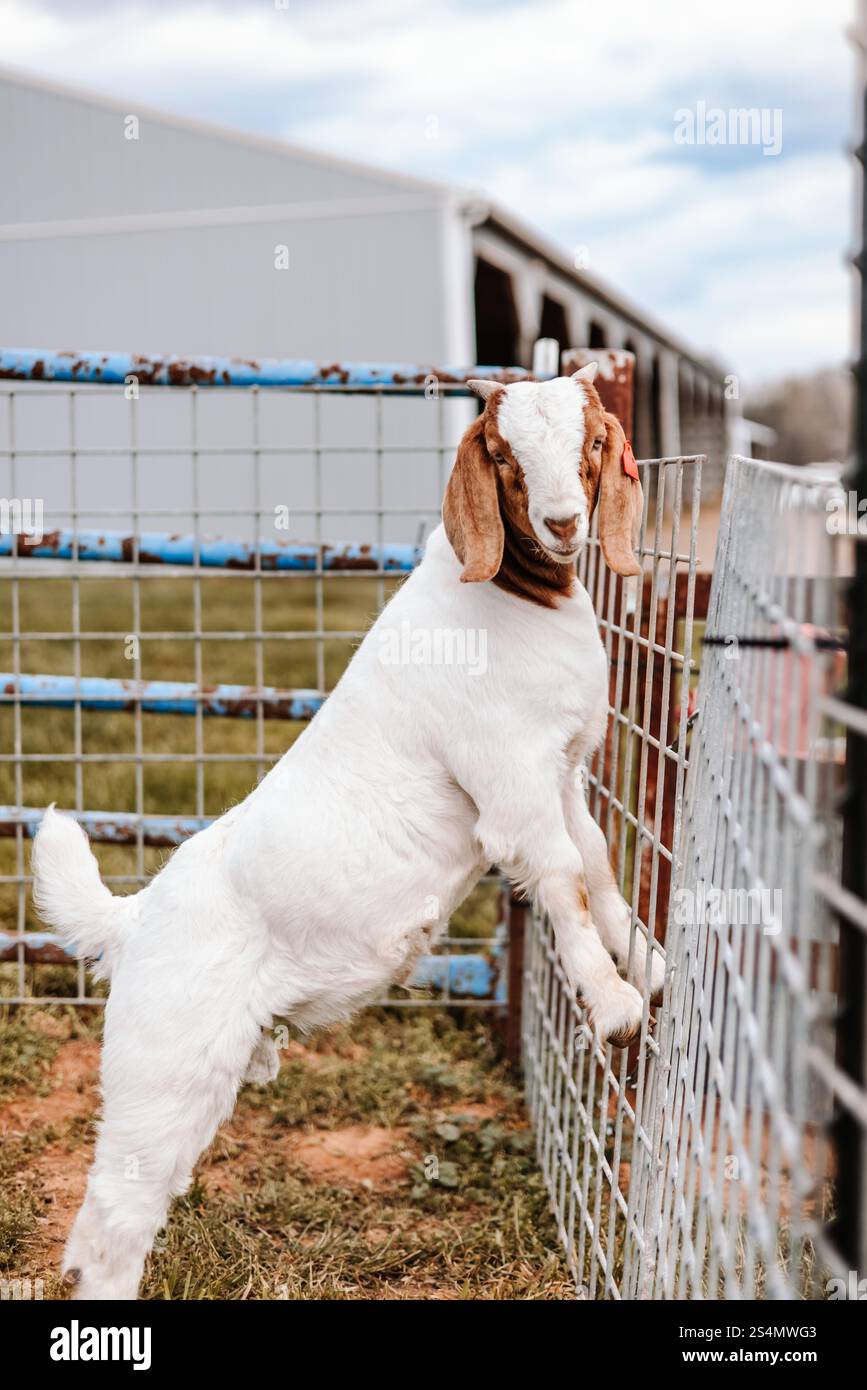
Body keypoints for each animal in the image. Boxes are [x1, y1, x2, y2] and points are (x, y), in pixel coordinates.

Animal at [32, 363, 664, 1300]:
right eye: (503, 456)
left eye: (591, 441)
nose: (561, 523)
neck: (511, 597)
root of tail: (134, 918)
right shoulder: (511, 781)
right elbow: (560, 877)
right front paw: (614, 1004)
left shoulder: (566, 772)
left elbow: (597, 866)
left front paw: (648, 965)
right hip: (165, 1061)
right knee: (116, 1210)